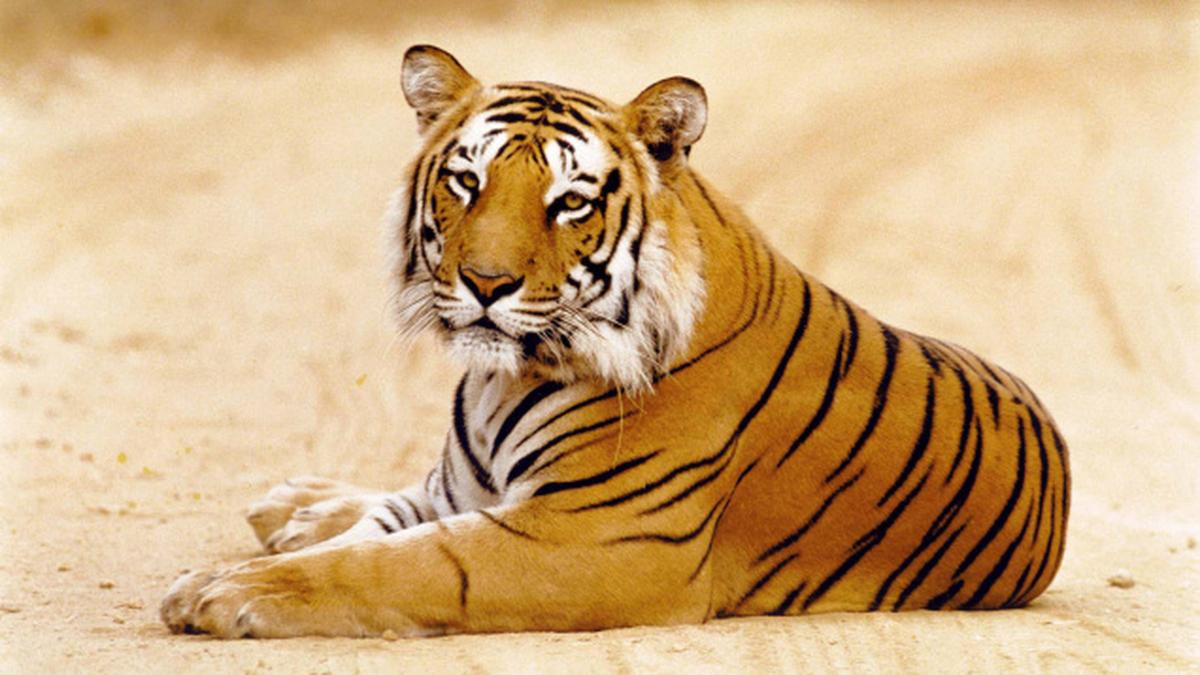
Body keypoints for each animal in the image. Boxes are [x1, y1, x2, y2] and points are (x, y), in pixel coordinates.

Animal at [161, 44, 1070, 638]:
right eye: (467, 180)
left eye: (569, 201)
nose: (485, 283)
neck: (500, 382)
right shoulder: (468, 493)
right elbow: (377, 529)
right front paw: (253, 556)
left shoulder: (598, 537)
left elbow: (399, 561)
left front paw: (219, 591)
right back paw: (293, 503)